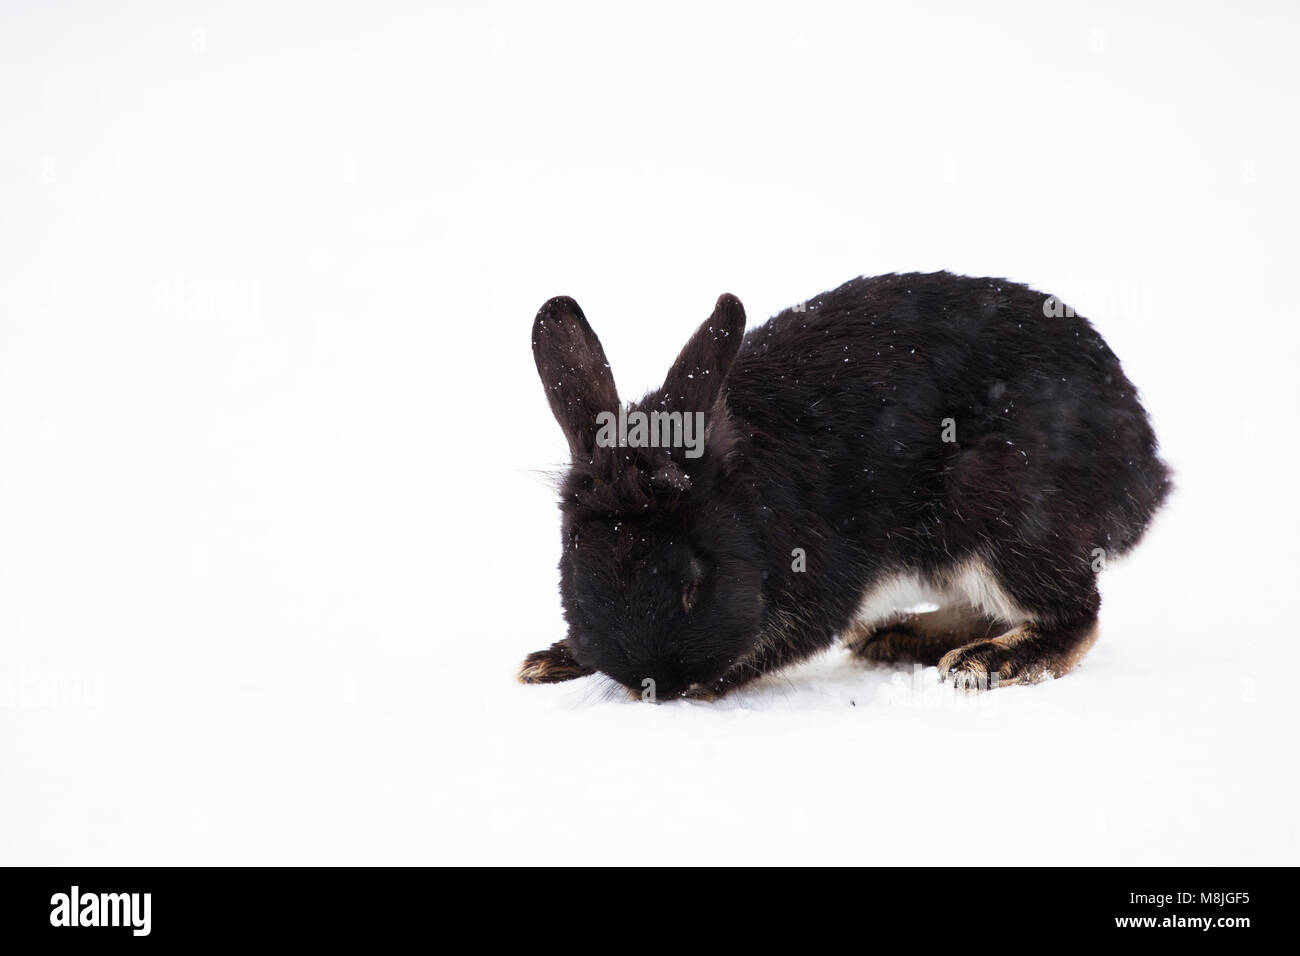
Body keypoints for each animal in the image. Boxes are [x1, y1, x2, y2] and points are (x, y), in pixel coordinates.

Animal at [519, 272, 1171, 700]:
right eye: (574, 569)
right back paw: (891, 636)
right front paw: (550, 663)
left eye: (693, 583)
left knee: (1076, 615)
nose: (658, 685)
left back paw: (981, 664)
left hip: (1000, 517)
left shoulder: (820, 578)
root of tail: (1144, 467)